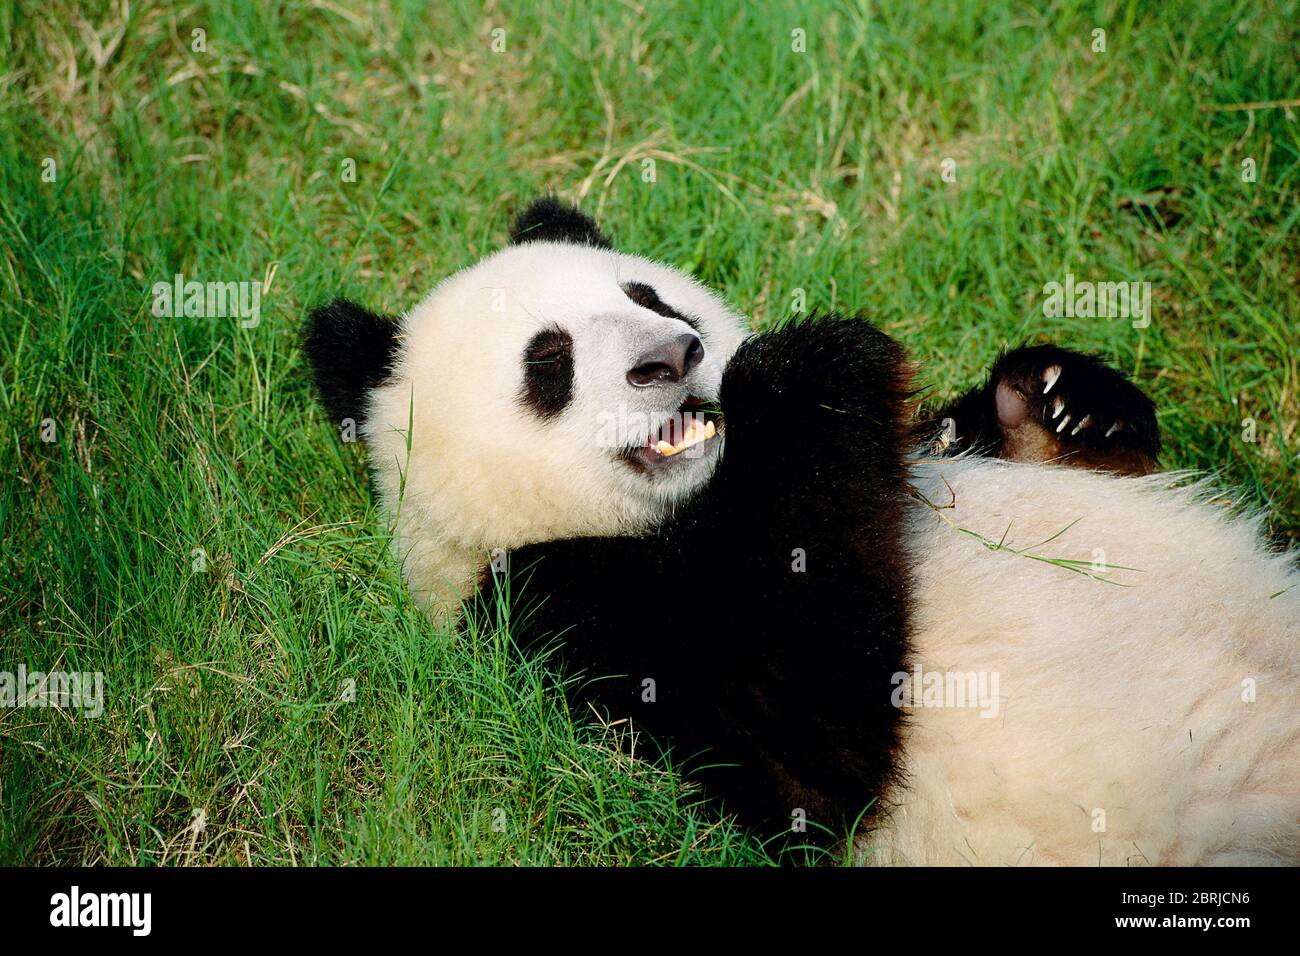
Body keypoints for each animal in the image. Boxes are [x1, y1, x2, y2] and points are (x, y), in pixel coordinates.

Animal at [305, 198, 1299, 866]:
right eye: (548, 362)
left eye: (648, 293)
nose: (672, 356)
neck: (697, 508)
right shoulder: (561, 622)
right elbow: (807, 759)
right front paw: (807, 364)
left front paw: (1061, 405)